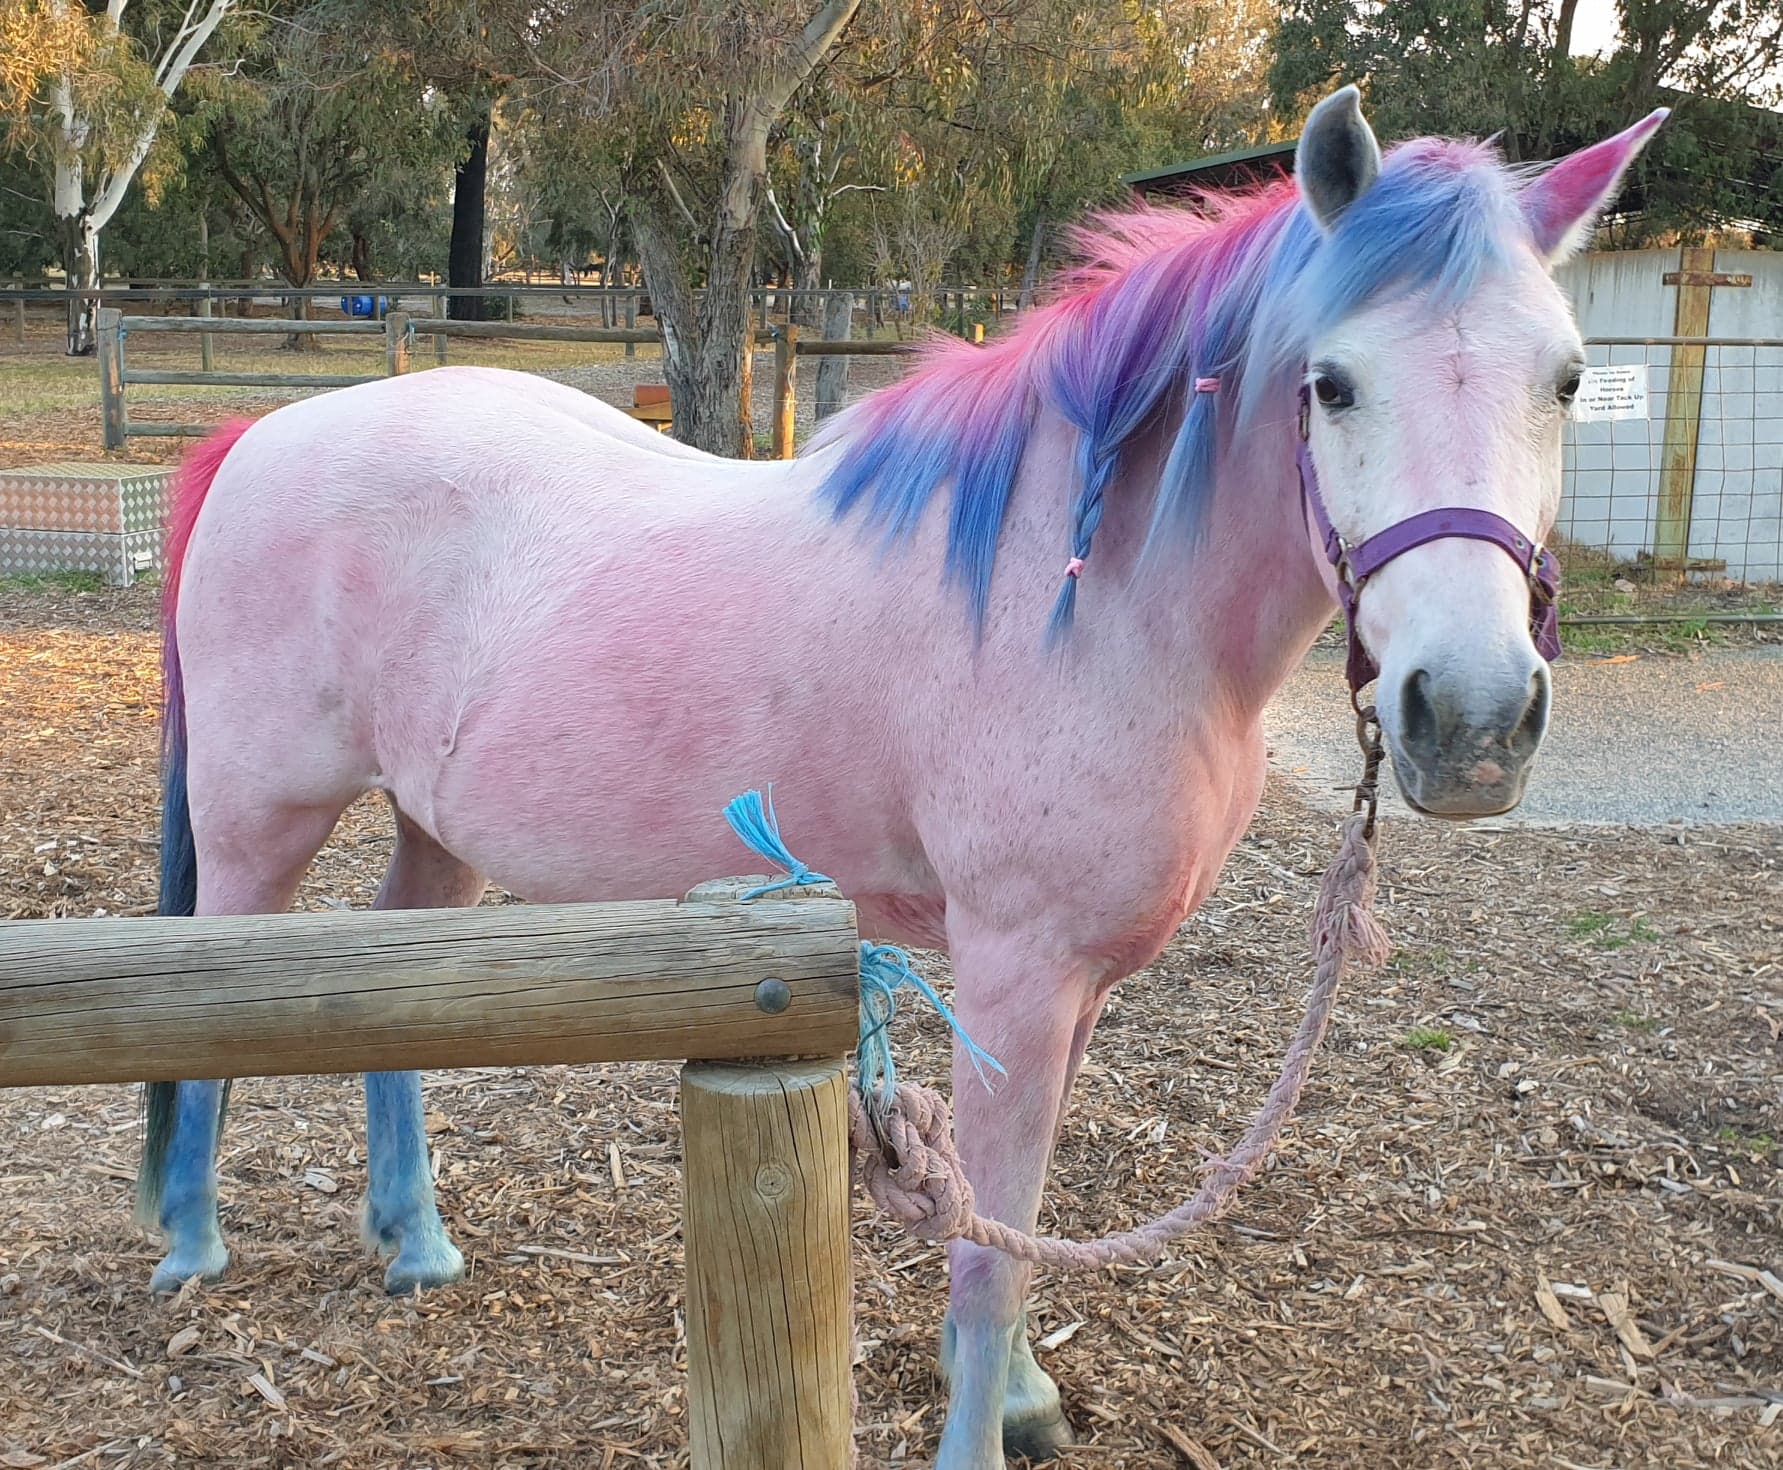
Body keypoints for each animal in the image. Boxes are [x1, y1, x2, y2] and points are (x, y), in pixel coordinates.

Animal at [135, 88, 1662, 1468]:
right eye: (1331, 382)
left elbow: (1019, 1222)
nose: (1471, 717)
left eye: (1565, 378)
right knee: (205, 986)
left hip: (434, 826)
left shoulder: (1076, 990)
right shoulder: (1014, 975)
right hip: (260, 821)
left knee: (391, 993)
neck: (1091, 591)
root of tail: (263, 438)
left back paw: (416, 1240)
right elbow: (988, 1250)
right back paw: (191, 1240)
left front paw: (1026, 1396)